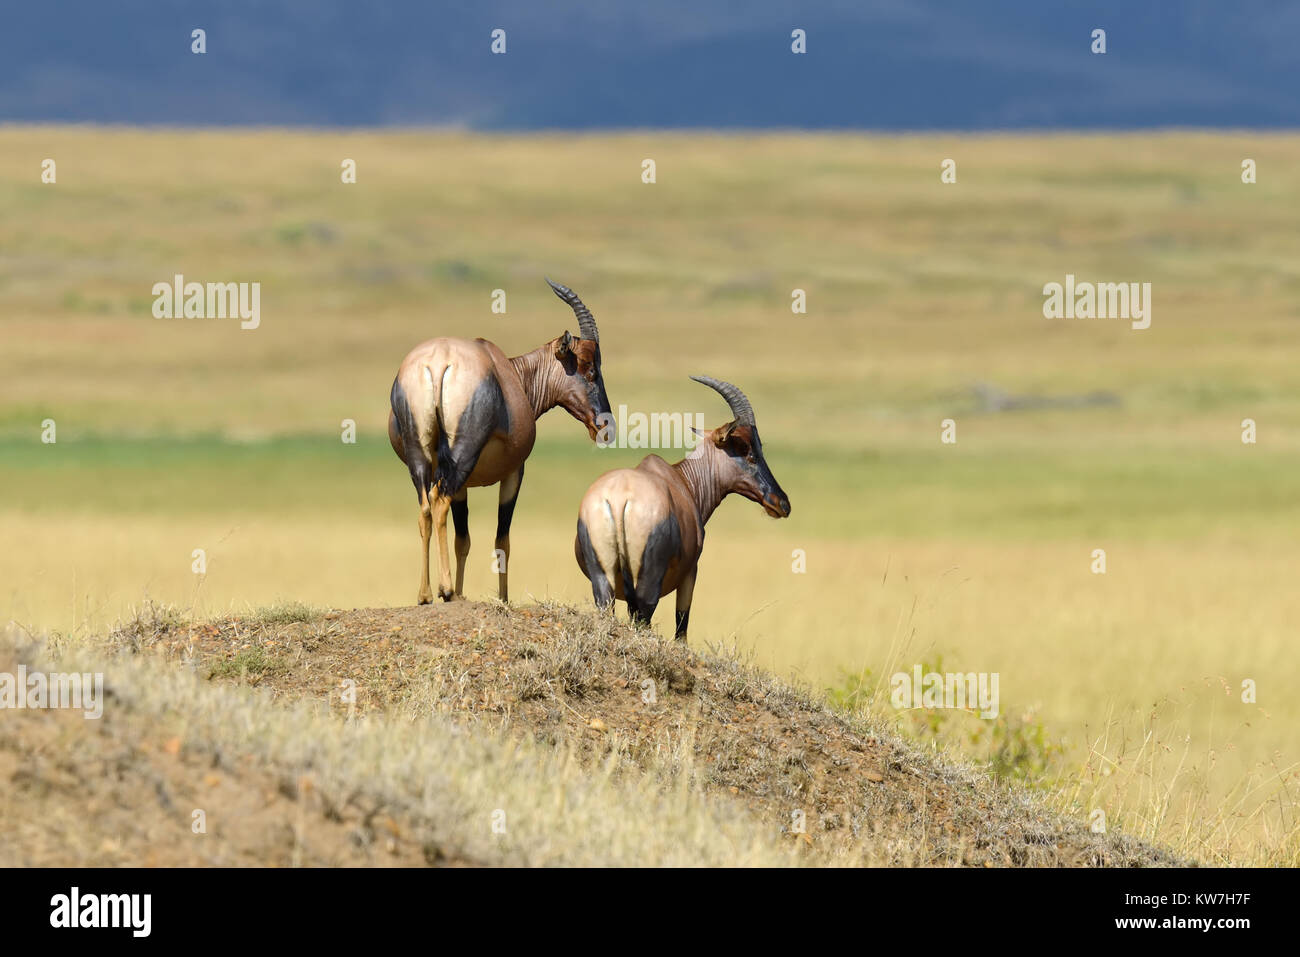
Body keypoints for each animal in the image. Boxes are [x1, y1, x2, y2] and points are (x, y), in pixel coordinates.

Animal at [389, 279, 613, 605]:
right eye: (589, 367)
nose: (606, 426)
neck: (513, 375)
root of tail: (438, 361)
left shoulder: (463, 485)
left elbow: (463, 539)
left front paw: (462, 592)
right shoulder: (514, 472)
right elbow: (502, 540)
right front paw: (501, 599)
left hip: (422, 459)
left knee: (426, 509)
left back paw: (426, 594)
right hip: (462, 456)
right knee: (439, 503)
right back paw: (445, 590)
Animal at [574, 376, 790, 640]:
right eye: (747, 450)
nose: (781, 503)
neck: (682, 480)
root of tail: (618, 497)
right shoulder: (690, 573)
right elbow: (682, 628)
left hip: (603, 582)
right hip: (648, 586)